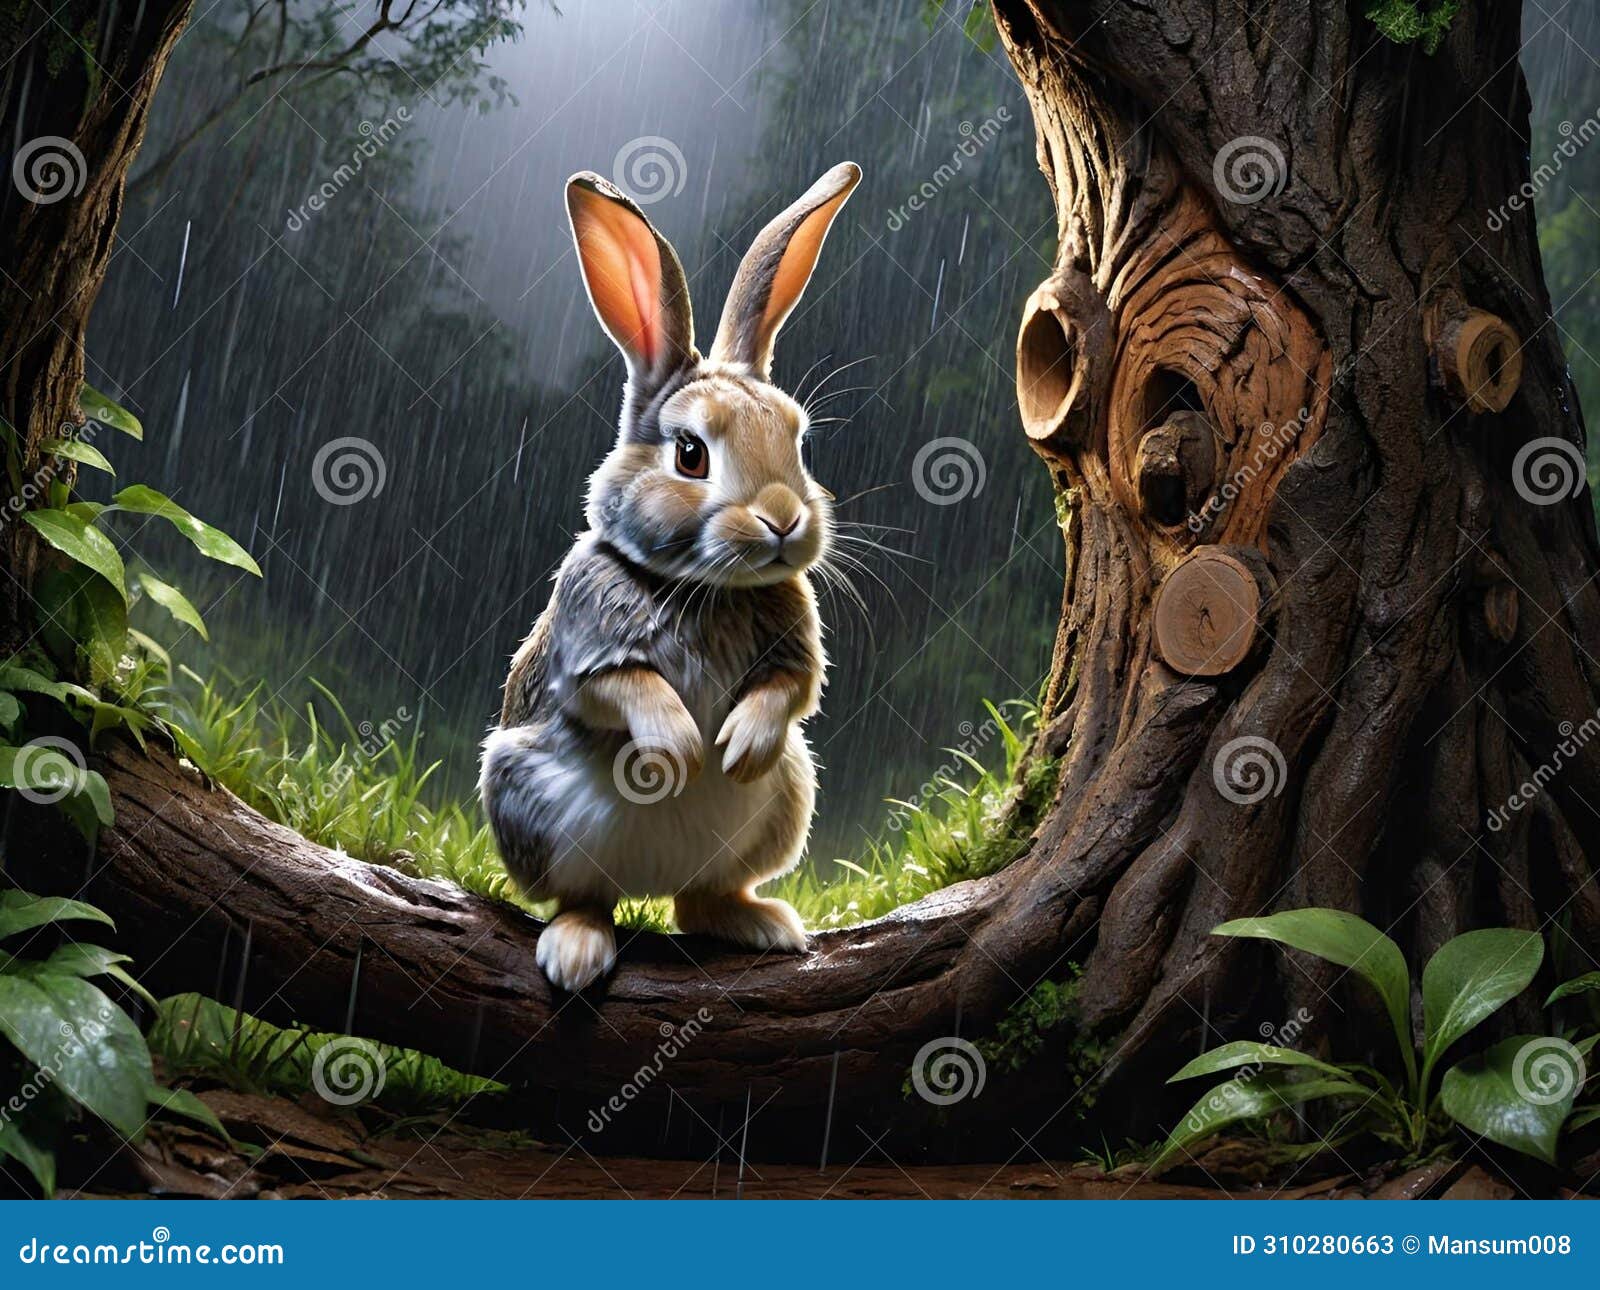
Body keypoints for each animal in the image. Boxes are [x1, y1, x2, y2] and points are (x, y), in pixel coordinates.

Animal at [480, 161, 862, 992]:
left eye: (797, 440)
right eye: (690, 454)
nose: (783, 519)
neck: (703, 587)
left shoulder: (794, 657)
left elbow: (789, 690)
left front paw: (737, 747)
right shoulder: (589, 637)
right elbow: (624, 686)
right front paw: (683, 752)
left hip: (788, 793)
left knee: (699, 900)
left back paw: (763, 925)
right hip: (528, 796)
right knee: (586, 896)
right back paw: (577, 949)